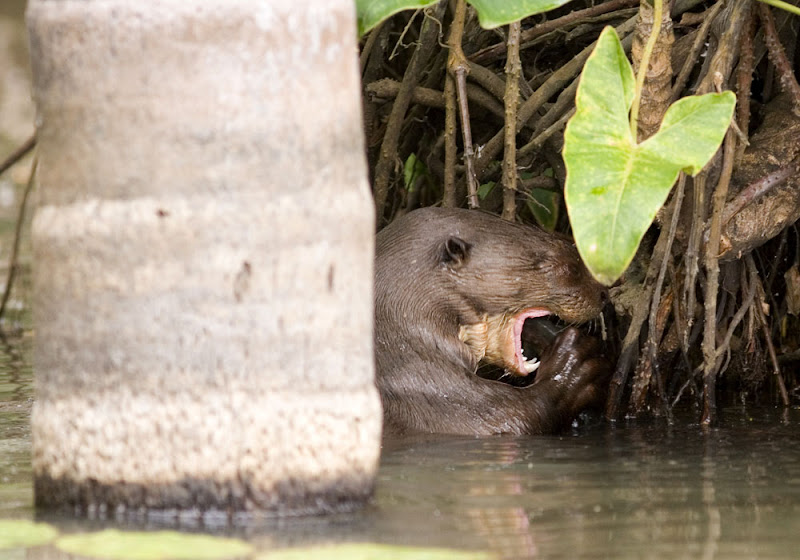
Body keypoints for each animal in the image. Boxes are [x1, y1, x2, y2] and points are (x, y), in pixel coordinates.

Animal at [375, 207, 610, 436]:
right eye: (567, 268)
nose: (604, 293)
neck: (400, 342)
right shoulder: (428, 387)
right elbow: (514, 417)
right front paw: (579, 361)